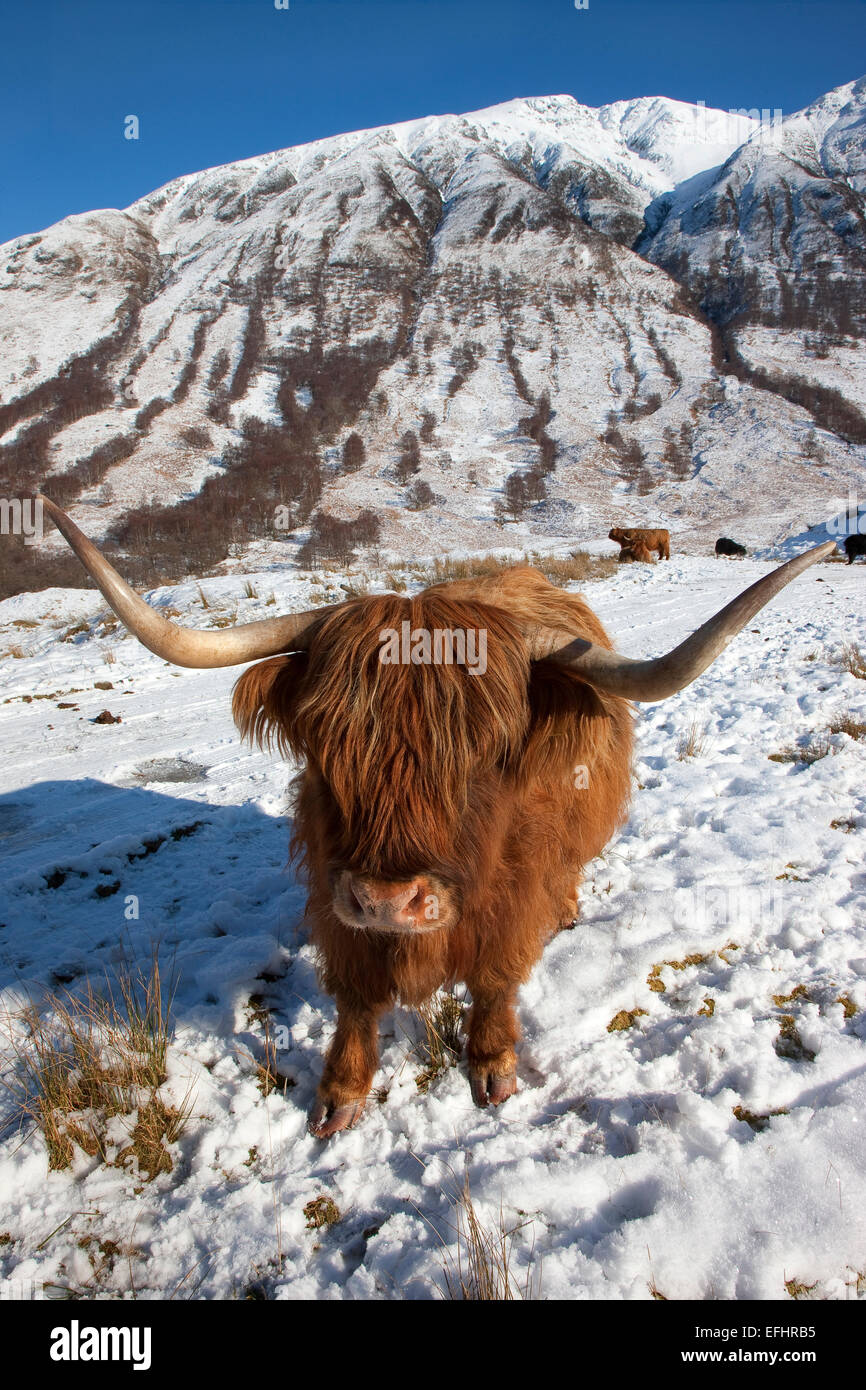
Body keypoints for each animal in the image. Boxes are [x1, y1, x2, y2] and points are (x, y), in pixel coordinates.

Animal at [39, 495, 834, 1138]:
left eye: (486, 756)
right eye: (326, 748)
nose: (390, 901)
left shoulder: (511, 895)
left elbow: (495, 976)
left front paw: (492, 1066)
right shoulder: (336, 896)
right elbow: (356, 995)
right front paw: (339, 1095)